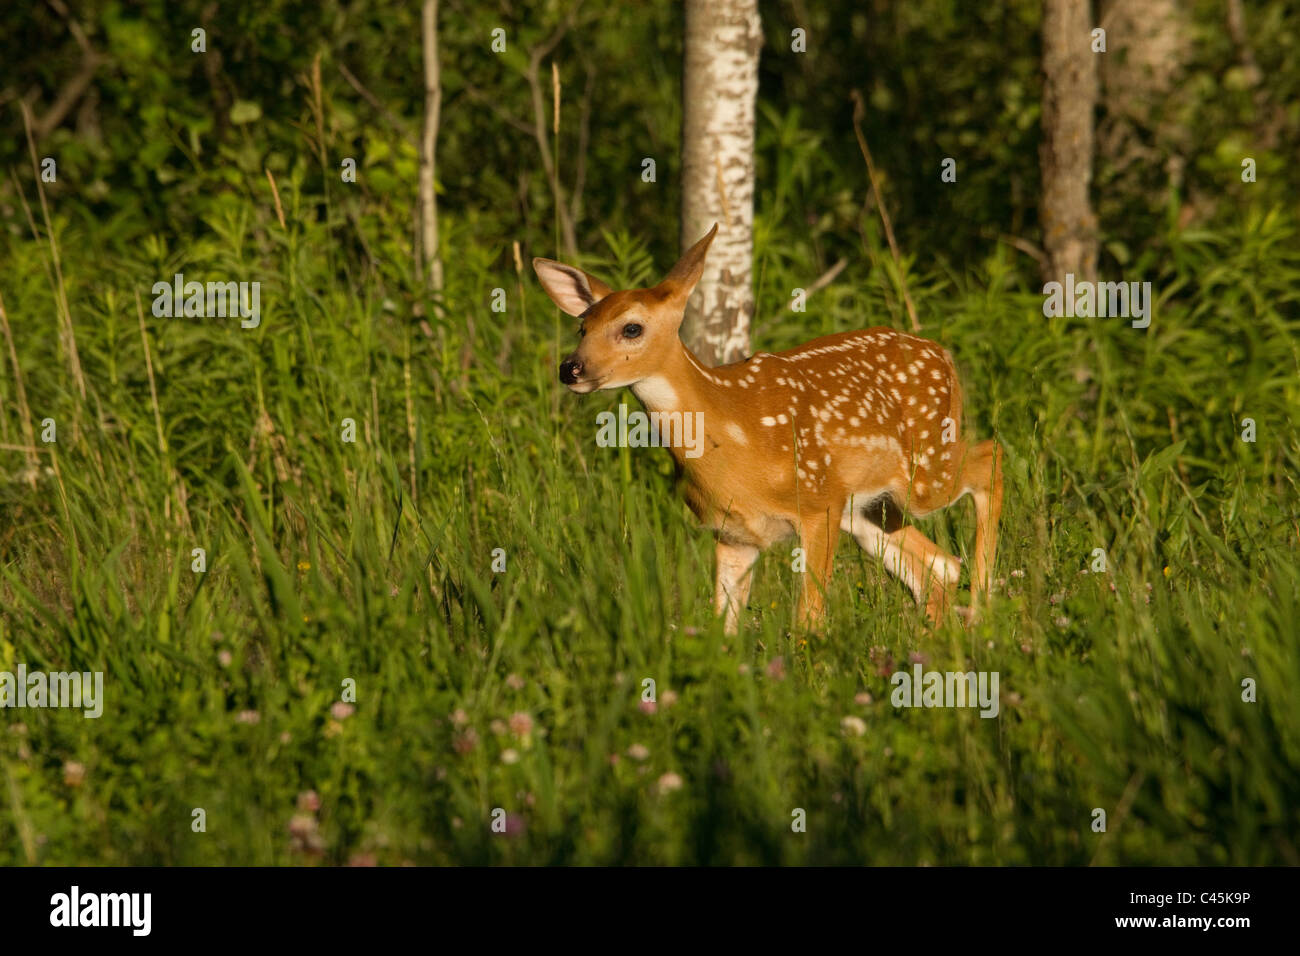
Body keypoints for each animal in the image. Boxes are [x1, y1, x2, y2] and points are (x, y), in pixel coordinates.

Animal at [533, 224, 1003, 635]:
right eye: (582, 327)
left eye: (632, 327)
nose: (570, 368)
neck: (732, 440)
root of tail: (944, 355)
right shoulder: (734, 533)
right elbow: (722, 629)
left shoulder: (817, 502)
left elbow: (809, 621)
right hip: (869, 507)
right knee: (939, 565)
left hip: (922, 470)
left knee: (990, 457)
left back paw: (982, 608)